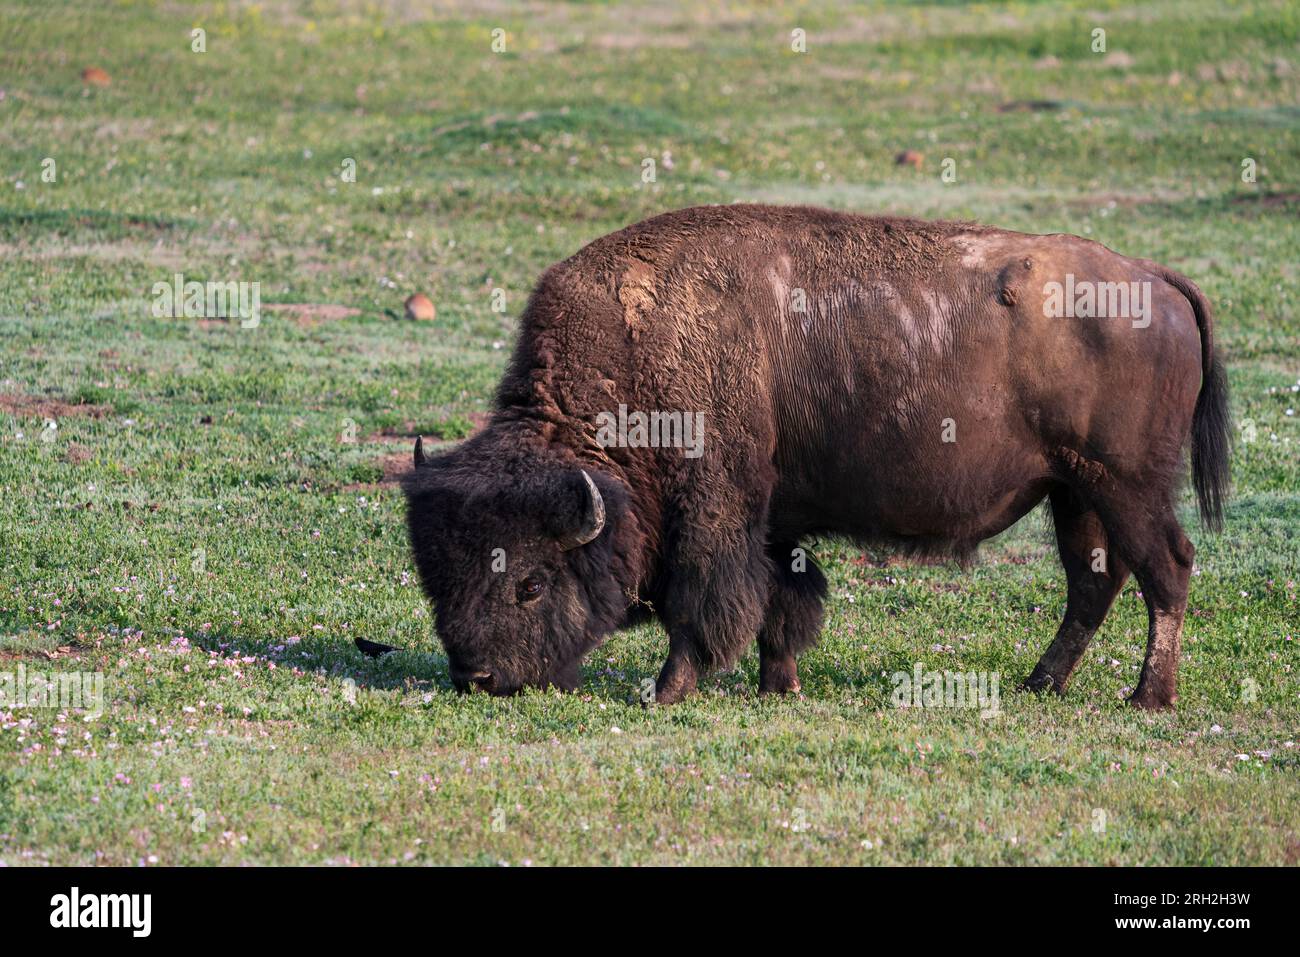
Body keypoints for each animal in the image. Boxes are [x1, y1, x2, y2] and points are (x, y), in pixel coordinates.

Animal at [399, 204, 1229, 709]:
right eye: (436, 577)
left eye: (532, 583)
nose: (476, 676)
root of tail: (1155, 279)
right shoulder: (775, 523)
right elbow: (783, 601)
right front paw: (780, 685)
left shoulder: (716, 514)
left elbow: (706, 604)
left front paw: (668, 689)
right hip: (1075, 491)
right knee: (1094, 581)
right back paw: (1040, 683)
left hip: (1126, 486)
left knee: (1166, 568)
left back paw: (1147, 697)